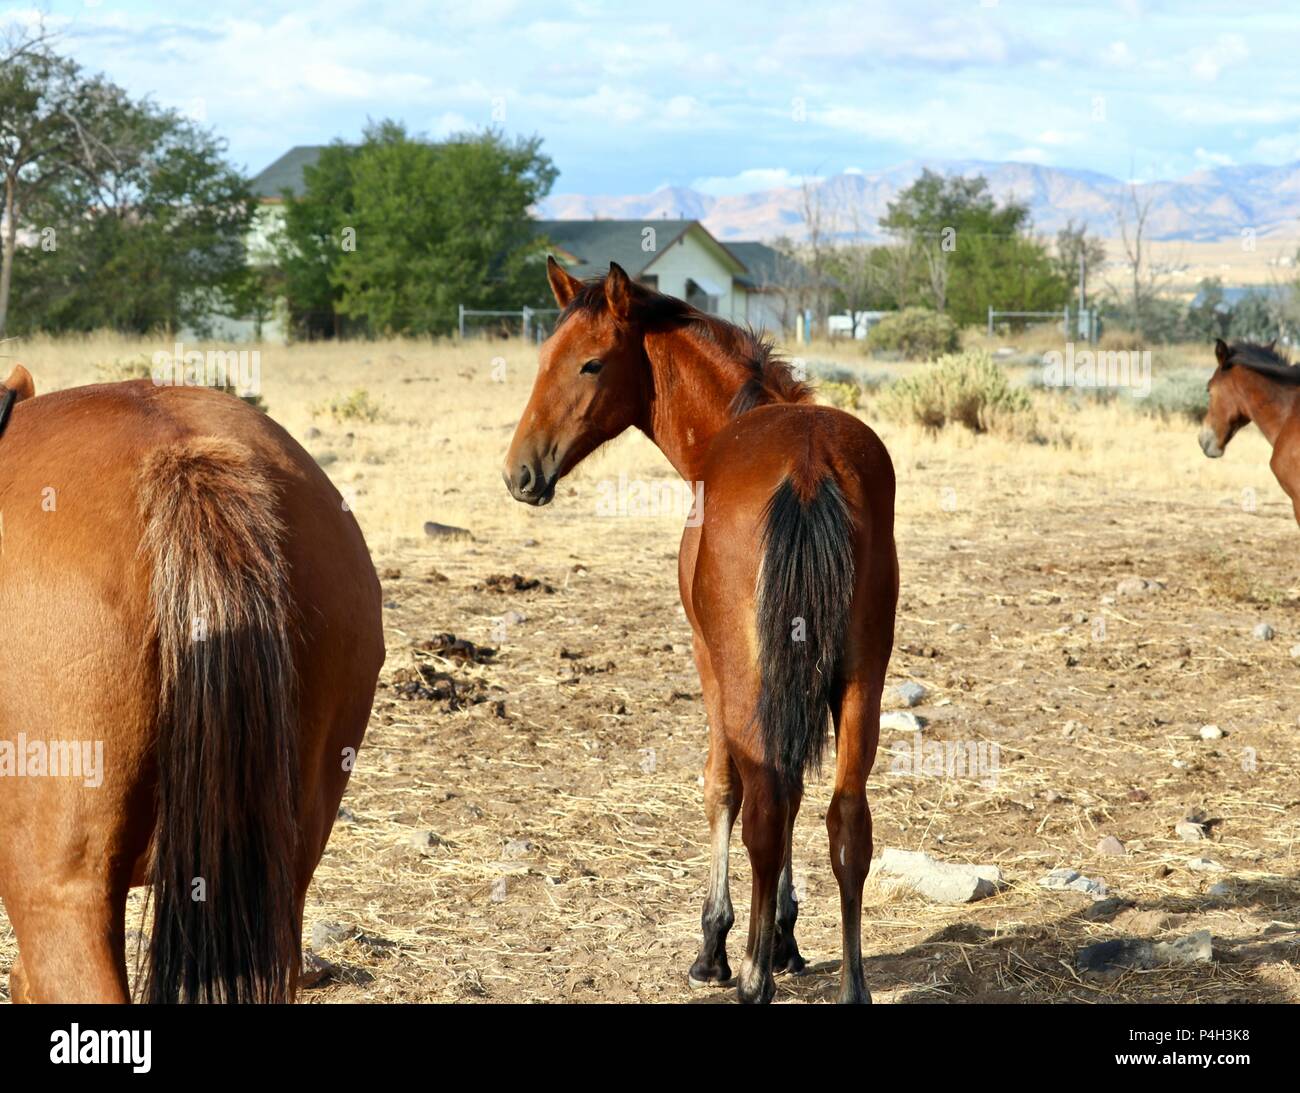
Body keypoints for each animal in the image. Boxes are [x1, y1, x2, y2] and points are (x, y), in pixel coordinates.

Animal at [504, 260, 898, 1004]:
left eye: (590, 363)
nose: (521, 472)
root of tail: (809, 466)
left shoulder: (709, 664)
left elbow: (724, 789)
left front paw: (719, 941)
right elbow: (799, 795)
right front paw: (786, 937)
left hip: (746, 677)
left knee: (764, 811)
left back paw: (746, 976)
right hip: (864, 680)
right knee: (845, 822)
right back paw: (851, 984)